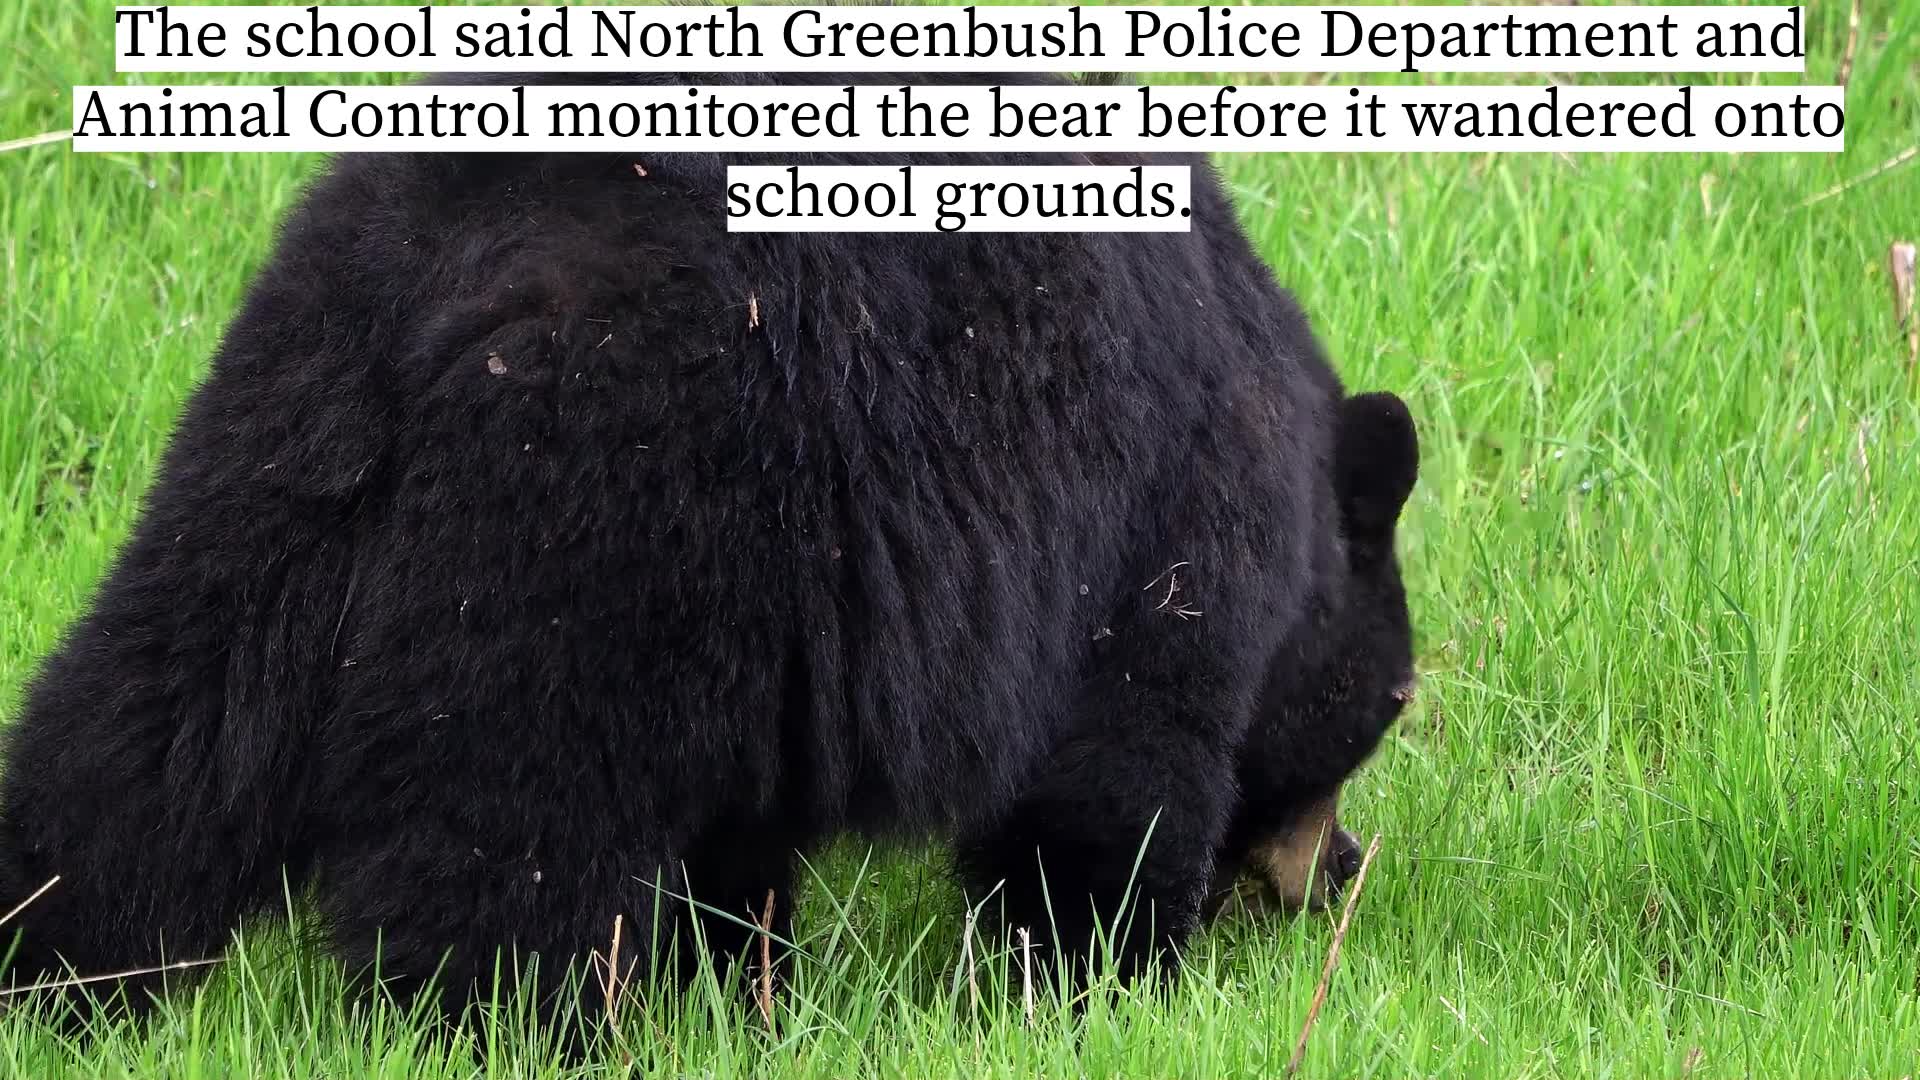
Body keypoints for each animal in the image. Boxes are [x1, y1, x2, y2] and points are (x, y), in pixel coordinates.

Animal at [0, 69, 1417, 1029]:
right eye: (1395, 701)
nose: (1340, 867)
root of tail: (458, 264)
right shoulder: (1162, 528)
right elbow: (1112, 777)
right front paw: (1093, 987)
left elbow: (744, 835)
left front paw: (744, 988)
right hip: (609, 490)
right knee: (511, 825)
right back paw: (509, 1025)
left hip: (289, 426)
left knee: (159, 713)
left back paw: (56, 963)